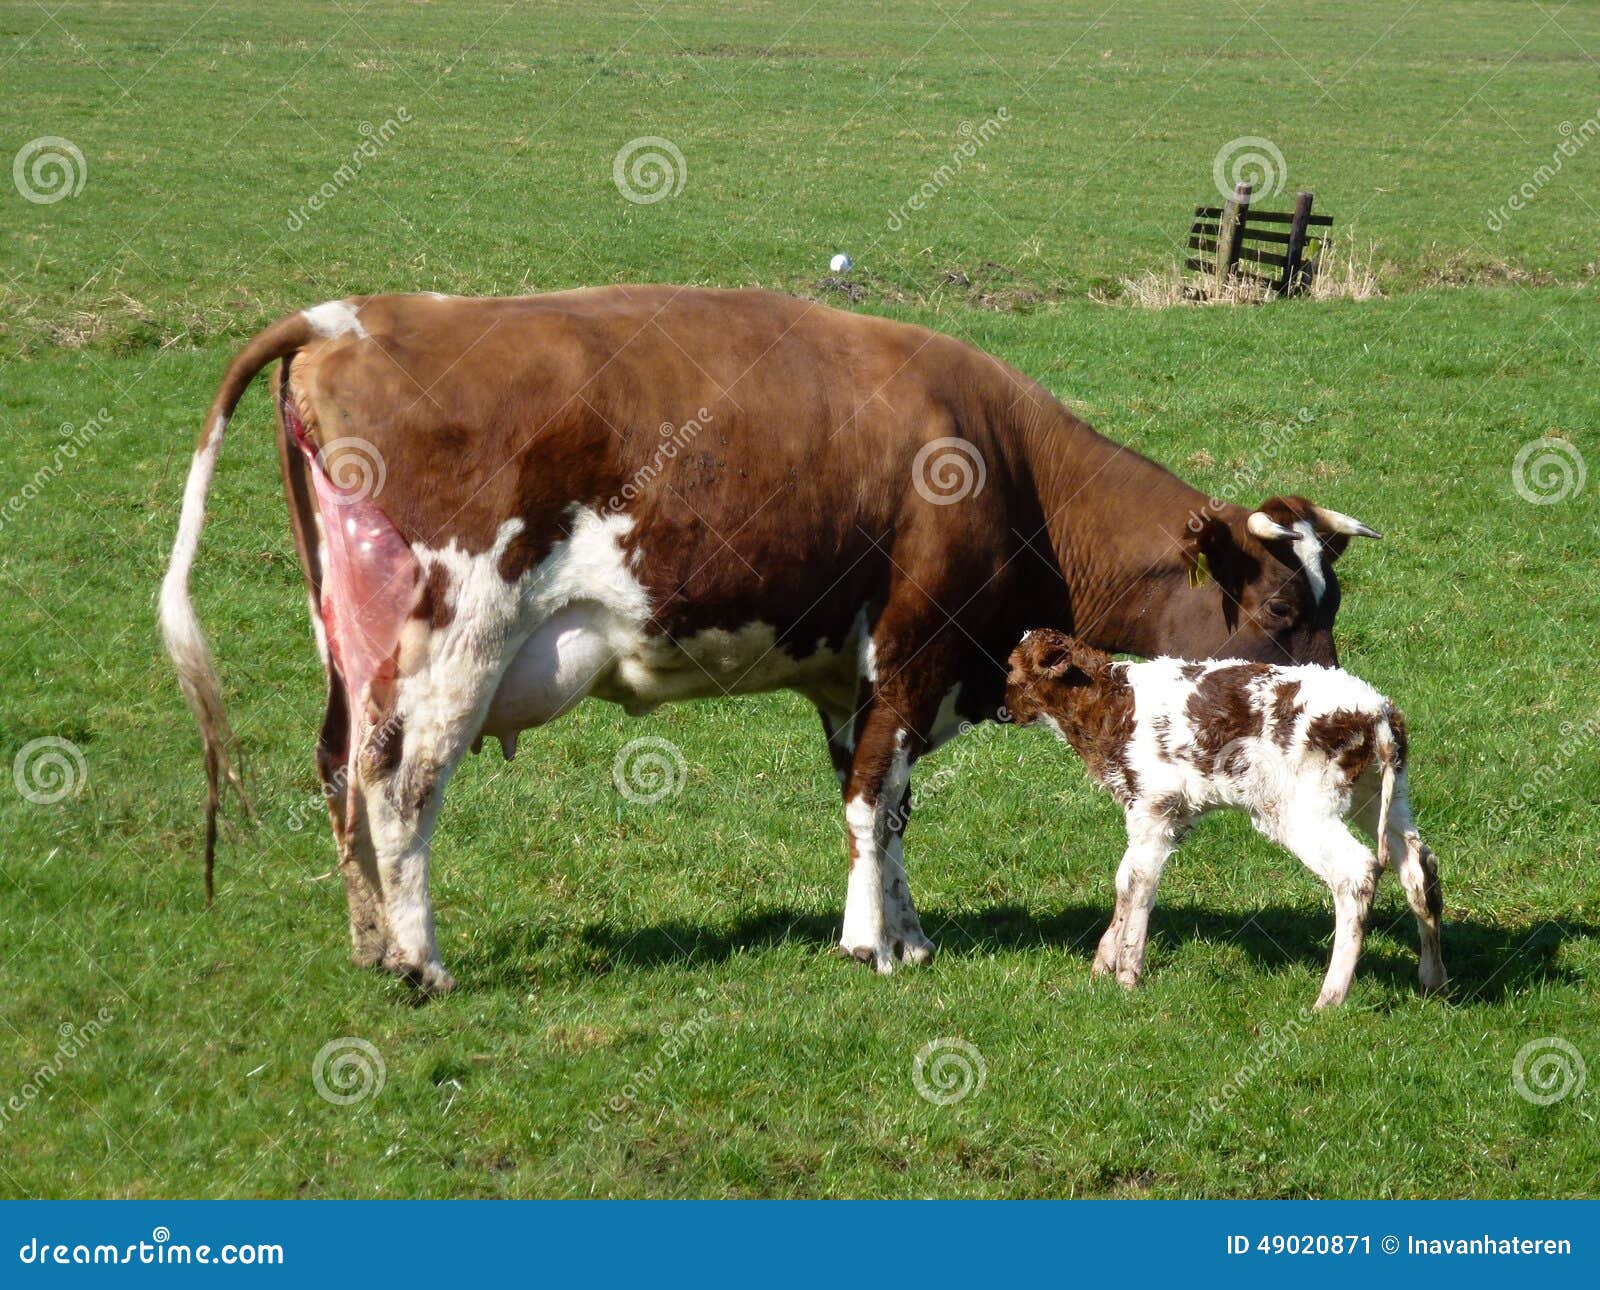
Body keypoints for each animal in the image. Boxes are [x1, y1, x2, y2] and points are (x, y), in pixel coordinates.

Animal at [159, 287, 1380, 994]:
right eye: (1282, 610)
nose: (1344, 715)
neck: (1012, 466)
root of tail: (347, 315)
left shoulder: (860, 678)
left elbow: (882, 805)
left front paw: (907, 931)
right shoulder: (912, 649)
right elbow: (871, 802)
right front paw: (868, 945)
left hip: (350, 649)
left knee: (336, 772)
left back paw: (372, 944)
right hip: (450, 643)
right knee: (400, 789)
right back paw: (421, 962)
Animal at [1005, 630, 1445, 1007]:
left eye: (1010, 666)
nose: (1004, 708)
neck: (1110, 704)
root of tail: (1376, 714)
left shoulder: (1154, 805)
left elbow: (1139, 883)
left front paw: (1127, 975)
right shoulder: (1158, 812)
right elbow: (1124, 880)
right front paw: (1102, 966)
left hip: (1299, 808)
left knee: (1356, 871)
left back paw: (1329, 998)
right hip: (1379, 793)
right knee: (1419, 865)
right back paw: (1433, 981)